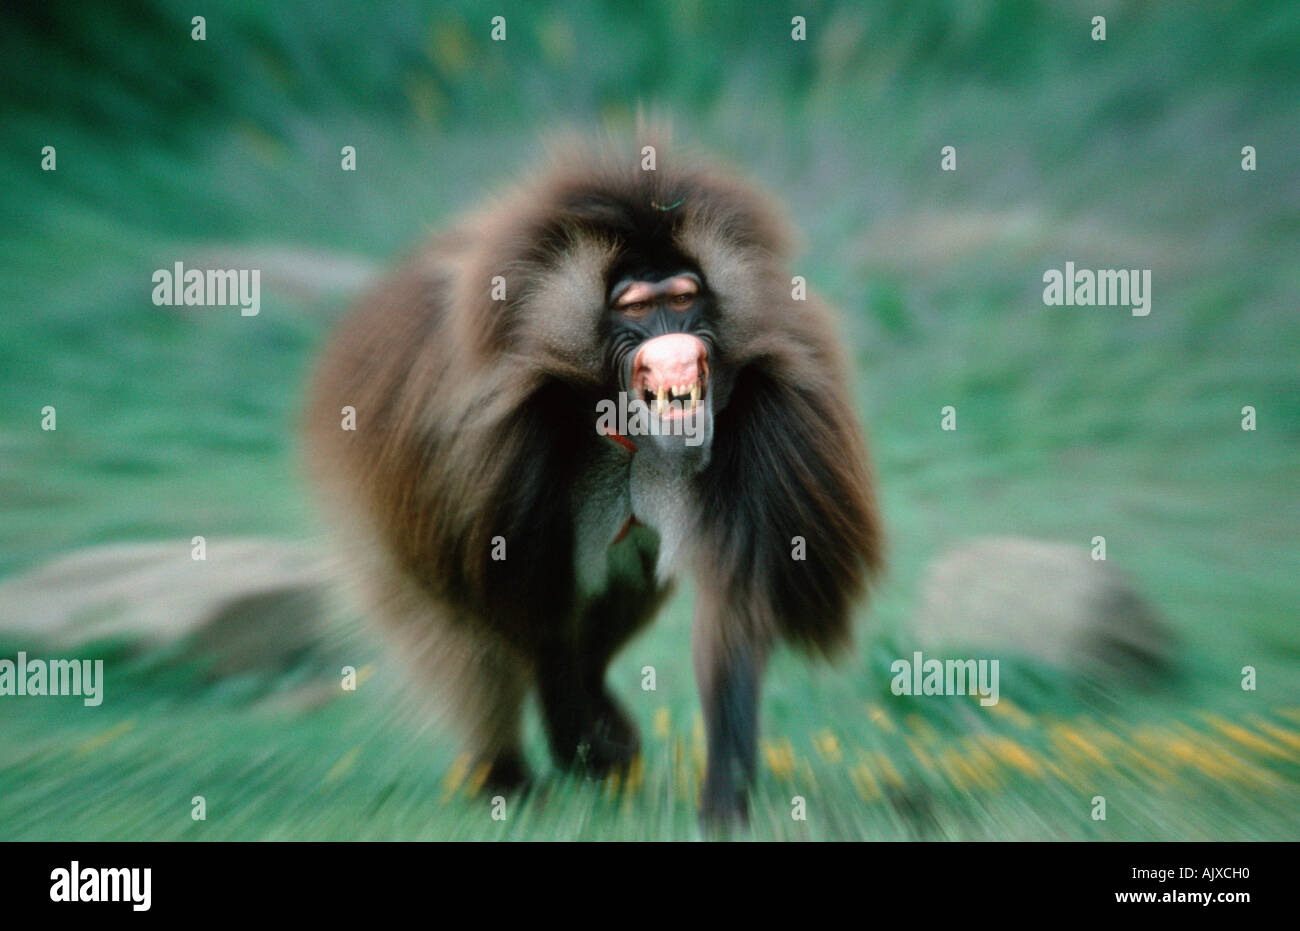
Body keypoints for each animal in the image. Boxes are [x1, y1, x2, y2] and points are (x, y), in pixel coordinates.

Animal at [303, 133, 882, 825]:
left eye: (683, 299)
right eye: (636, 308)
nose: (678, 349)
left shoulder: (766, 406)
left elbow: (735, 603)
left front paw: (722, 797)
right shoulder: (492, 447)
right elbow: (525, 608)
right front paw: (579, 745)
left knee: (620, 583)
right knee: (466, 638)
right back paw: (507, 777)